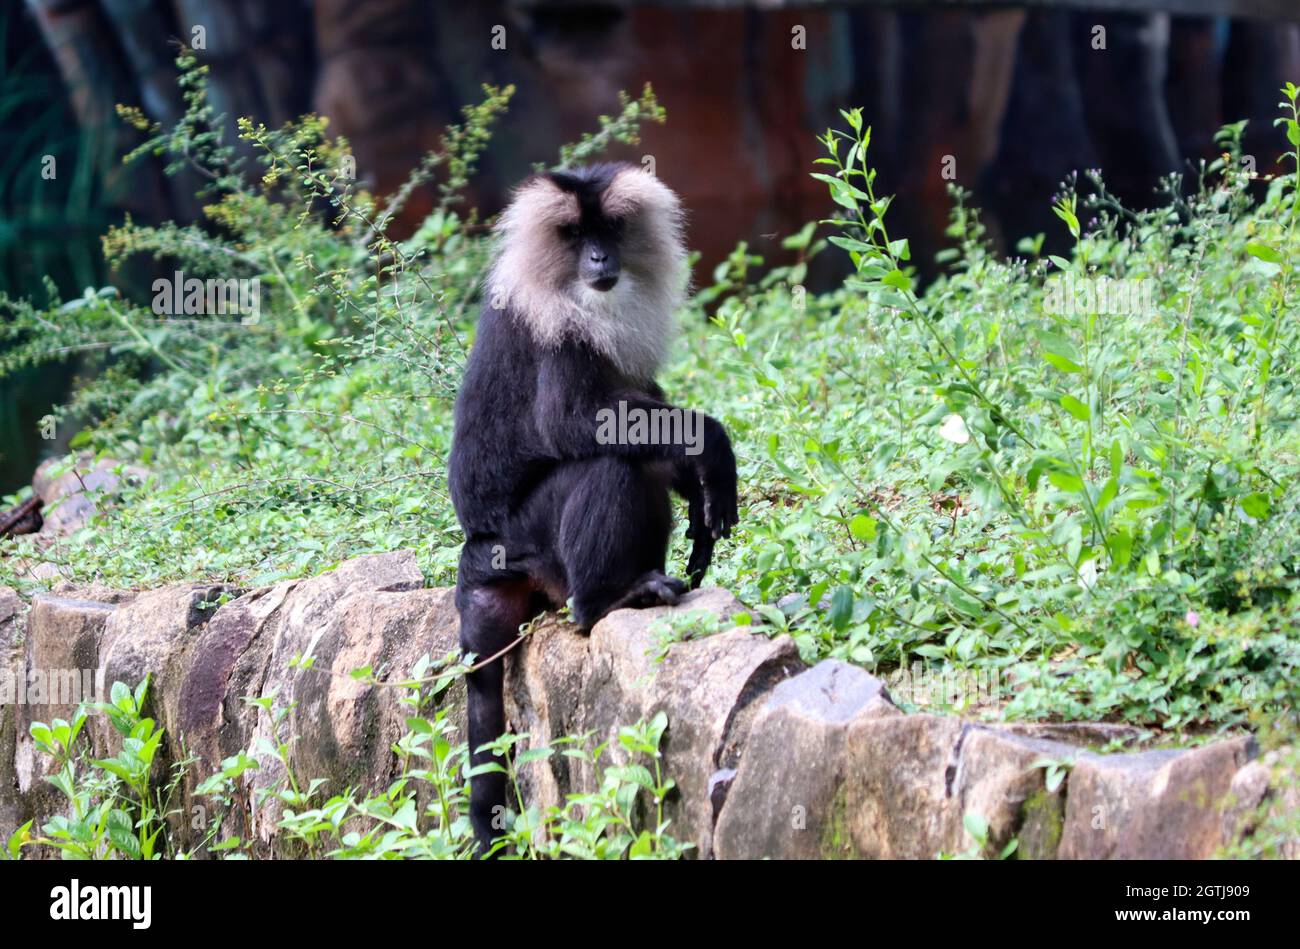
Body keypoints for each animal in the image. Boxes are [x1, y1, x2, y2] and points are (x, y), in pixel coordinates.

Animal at [447, 162, 739, 853]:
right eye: (576, 235)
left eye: (609, 229)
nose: (601, 258)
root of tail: (477, 550)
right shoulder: (559, 332)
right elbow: (575, 423)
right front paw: (712, 447)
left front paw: (702, 487)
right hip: (527, 542)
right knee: (607, 468)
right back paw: (608, 599)